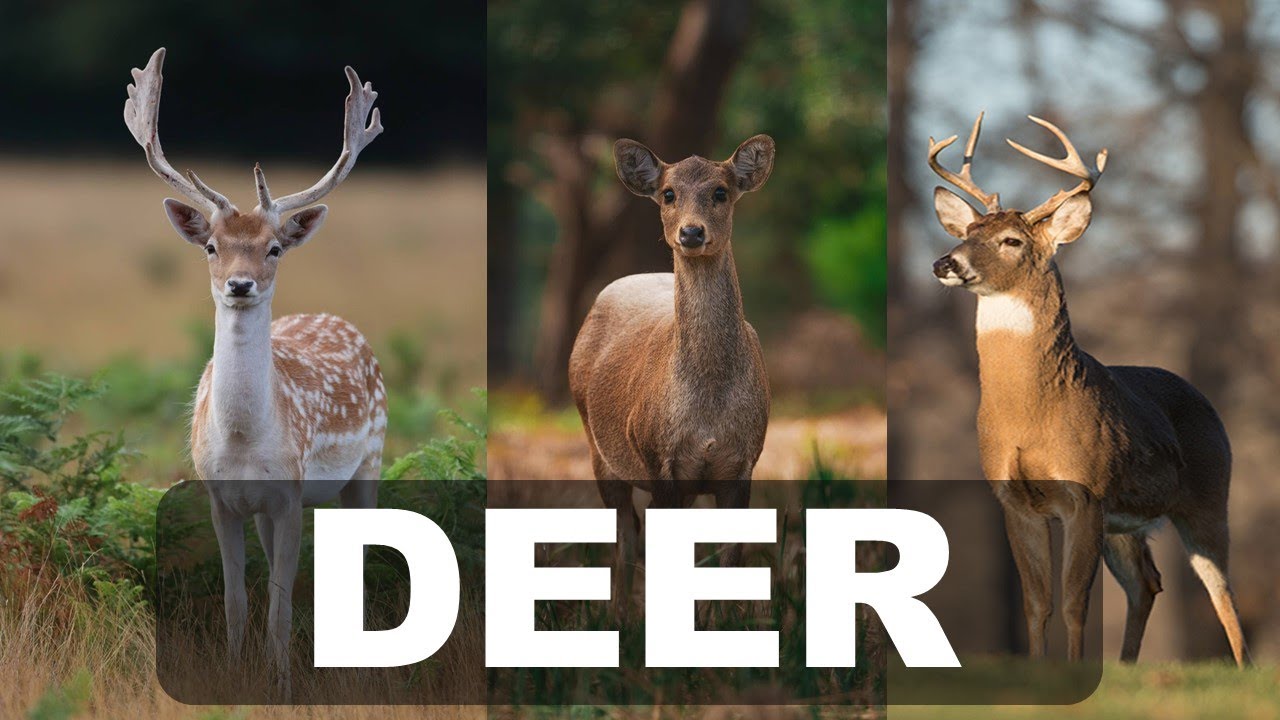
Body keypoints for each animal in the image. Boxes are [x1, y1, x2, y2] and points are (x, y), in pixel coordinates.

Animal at [124, 48, 388, 696]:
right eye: (211, 246)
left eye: (273, 248)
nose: (240, 284)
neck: (244, 441)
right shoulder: (222, 498)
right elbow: (237, 600)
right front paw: (233, 675)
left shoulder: (290, 495)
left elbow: (281, 604)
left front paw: (283, 687)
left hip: (368, 462)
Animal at [569, 135, 774, 608]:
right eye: (668, 194)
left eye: (721, 191)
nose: (692, 232)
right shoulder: (655, 455)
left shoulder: (743, 464)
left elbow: (729, 563)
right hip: (598, 449)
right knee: (626, 535)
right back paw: (619, 613)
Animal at [928, 112, 1249, 667]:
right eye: (968, 230)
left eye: (1012, 241)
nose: (946, 262)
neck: (1030, 415)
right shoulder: (1014, 499)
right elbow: (1037, 602)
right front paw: (1038, 672)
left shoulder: (1087, 492)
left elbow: (1075, 600)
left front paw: (1075, 670)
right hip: (1125, 524)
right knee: (1147, 582)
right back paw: (1125, 666)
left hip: (1208, 495)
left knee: (1220, 588)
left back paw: (1243, 666)